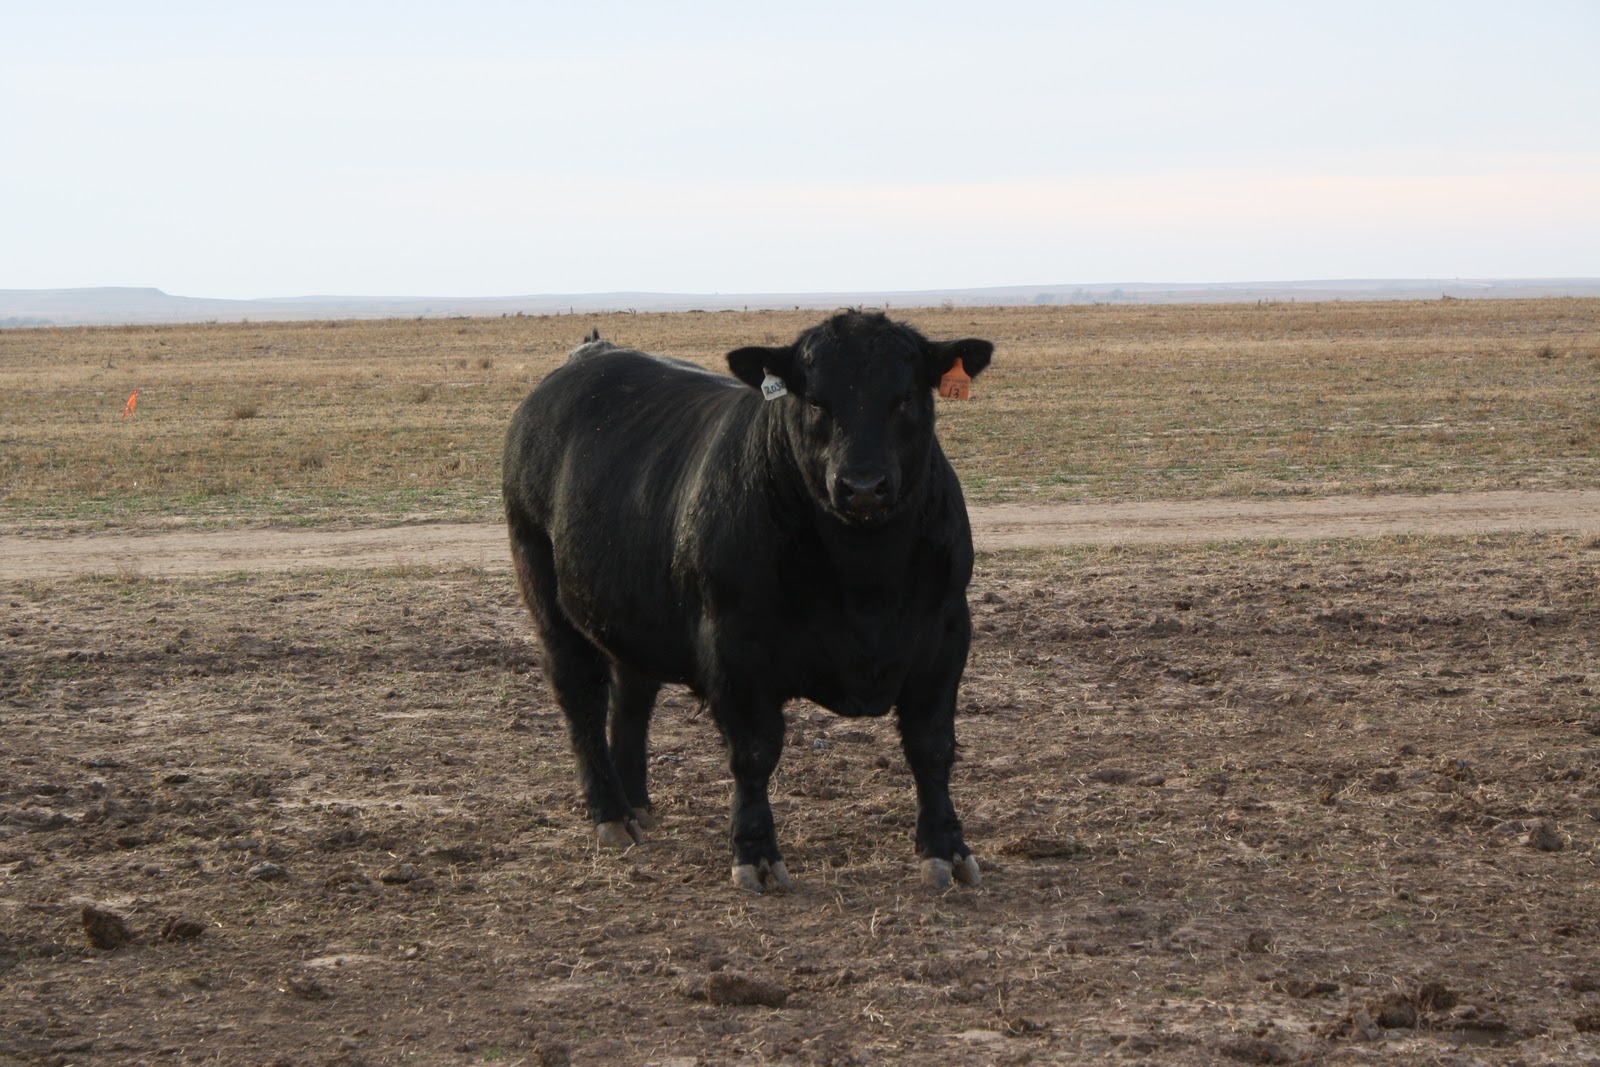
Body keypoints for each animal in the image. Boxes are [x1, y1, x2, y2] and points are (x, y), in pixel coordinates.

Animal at [502, 310, 993, 892]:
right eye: (814, 401)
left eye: (905, 397)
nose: (862, 486)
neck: (867, 578)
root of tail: (591, 355)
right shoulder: (735, 646)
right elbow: (755, 751)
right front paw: (755, 854)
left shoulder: (945, 635)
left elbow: (931, 745)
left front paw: (947, 848)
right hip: (546, 593)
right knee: (581, 695)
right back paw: (611, 813)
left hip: (633, 612)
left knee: (632, 695)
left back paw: (637, 802)